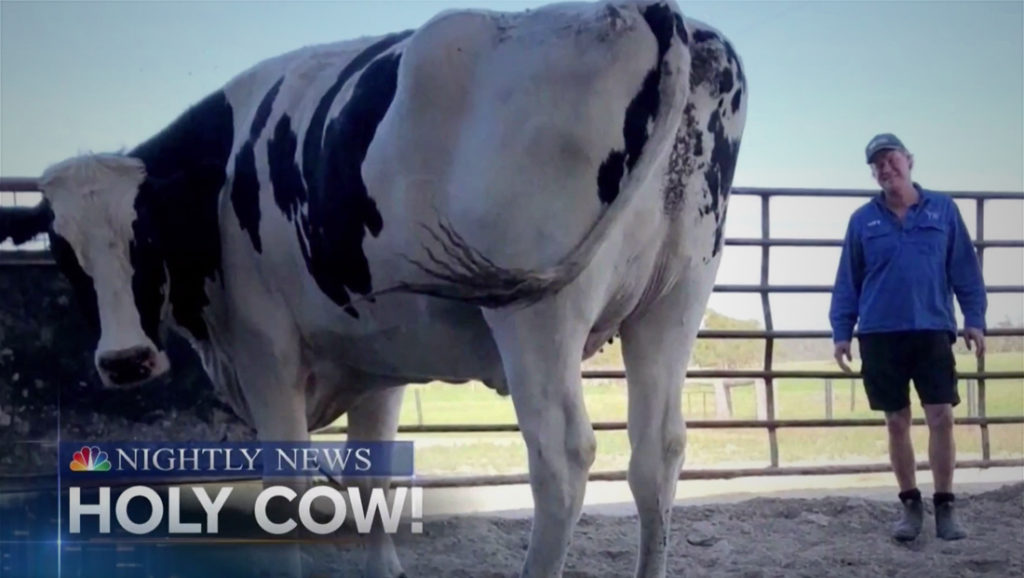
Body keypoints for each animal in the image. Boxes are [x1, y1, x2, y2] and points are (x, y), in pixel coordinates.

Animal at [1, 1, 746, 576]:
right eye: (64, 253)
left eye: (146, 236)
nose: (125, 361)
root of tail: (651, 12)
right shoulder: (377, 354)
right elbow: (374, 475)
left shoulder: (264, 347)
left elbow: (287, 484)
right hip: (674, 303)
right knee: (657, 453)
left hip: (539, 318)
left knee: (562, 460)